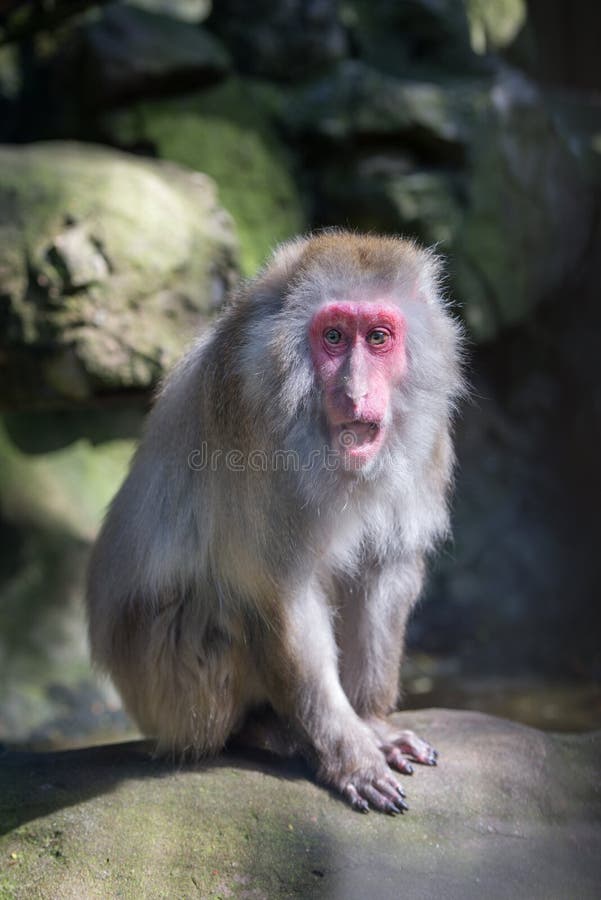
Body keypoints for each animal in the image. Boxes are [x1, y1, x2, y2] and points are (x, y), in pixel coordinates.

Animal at [87, 230, 464, 814]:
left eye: (378, 337)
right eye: (333, 337)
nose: (356, 392)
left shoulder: (428, 437)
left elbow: (385, 566)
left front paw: (373, 723)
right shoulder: (249, 422)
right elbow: (280, 592)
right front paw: (350, 754)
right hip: (163, 686)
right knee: (217, 607)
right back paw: (259, 732)